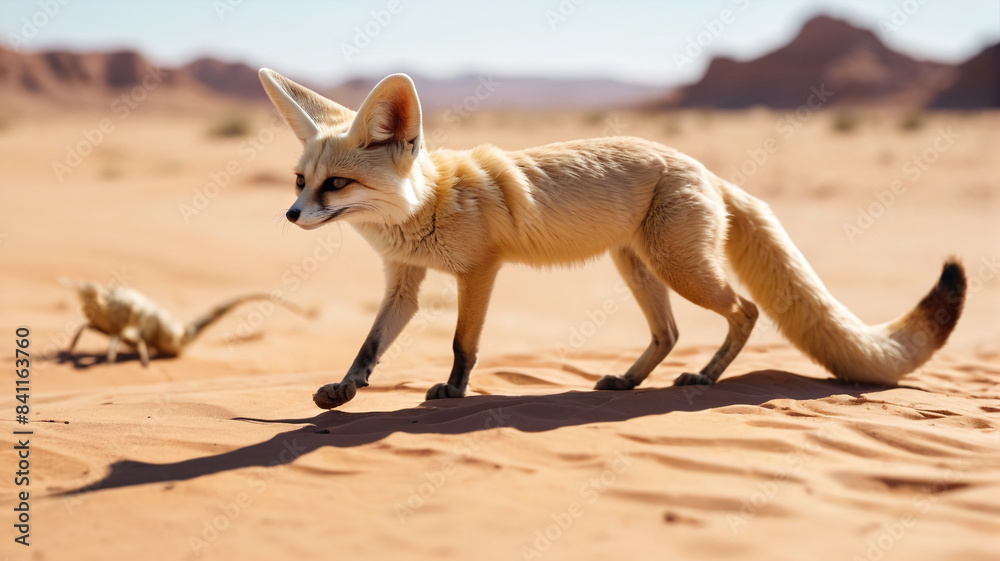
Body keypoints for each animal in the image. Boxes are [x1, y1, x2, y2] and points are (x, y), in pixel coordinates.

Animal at [257, 68, 966, 410]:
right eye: (300, 180)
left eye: (336, 184)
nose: (290, 216)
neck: (426, 204)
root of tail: (702, 167)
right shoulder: (404, 283)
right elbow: (368, 347)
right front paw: (343, 392)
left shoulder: (479, 272)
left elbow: (463, 345)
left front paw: (453, 394)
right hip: (636, 267)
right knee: (669, 332)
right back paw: (629, 381)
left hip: (681, 268)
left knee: (745, 310)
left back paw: (706, 378)